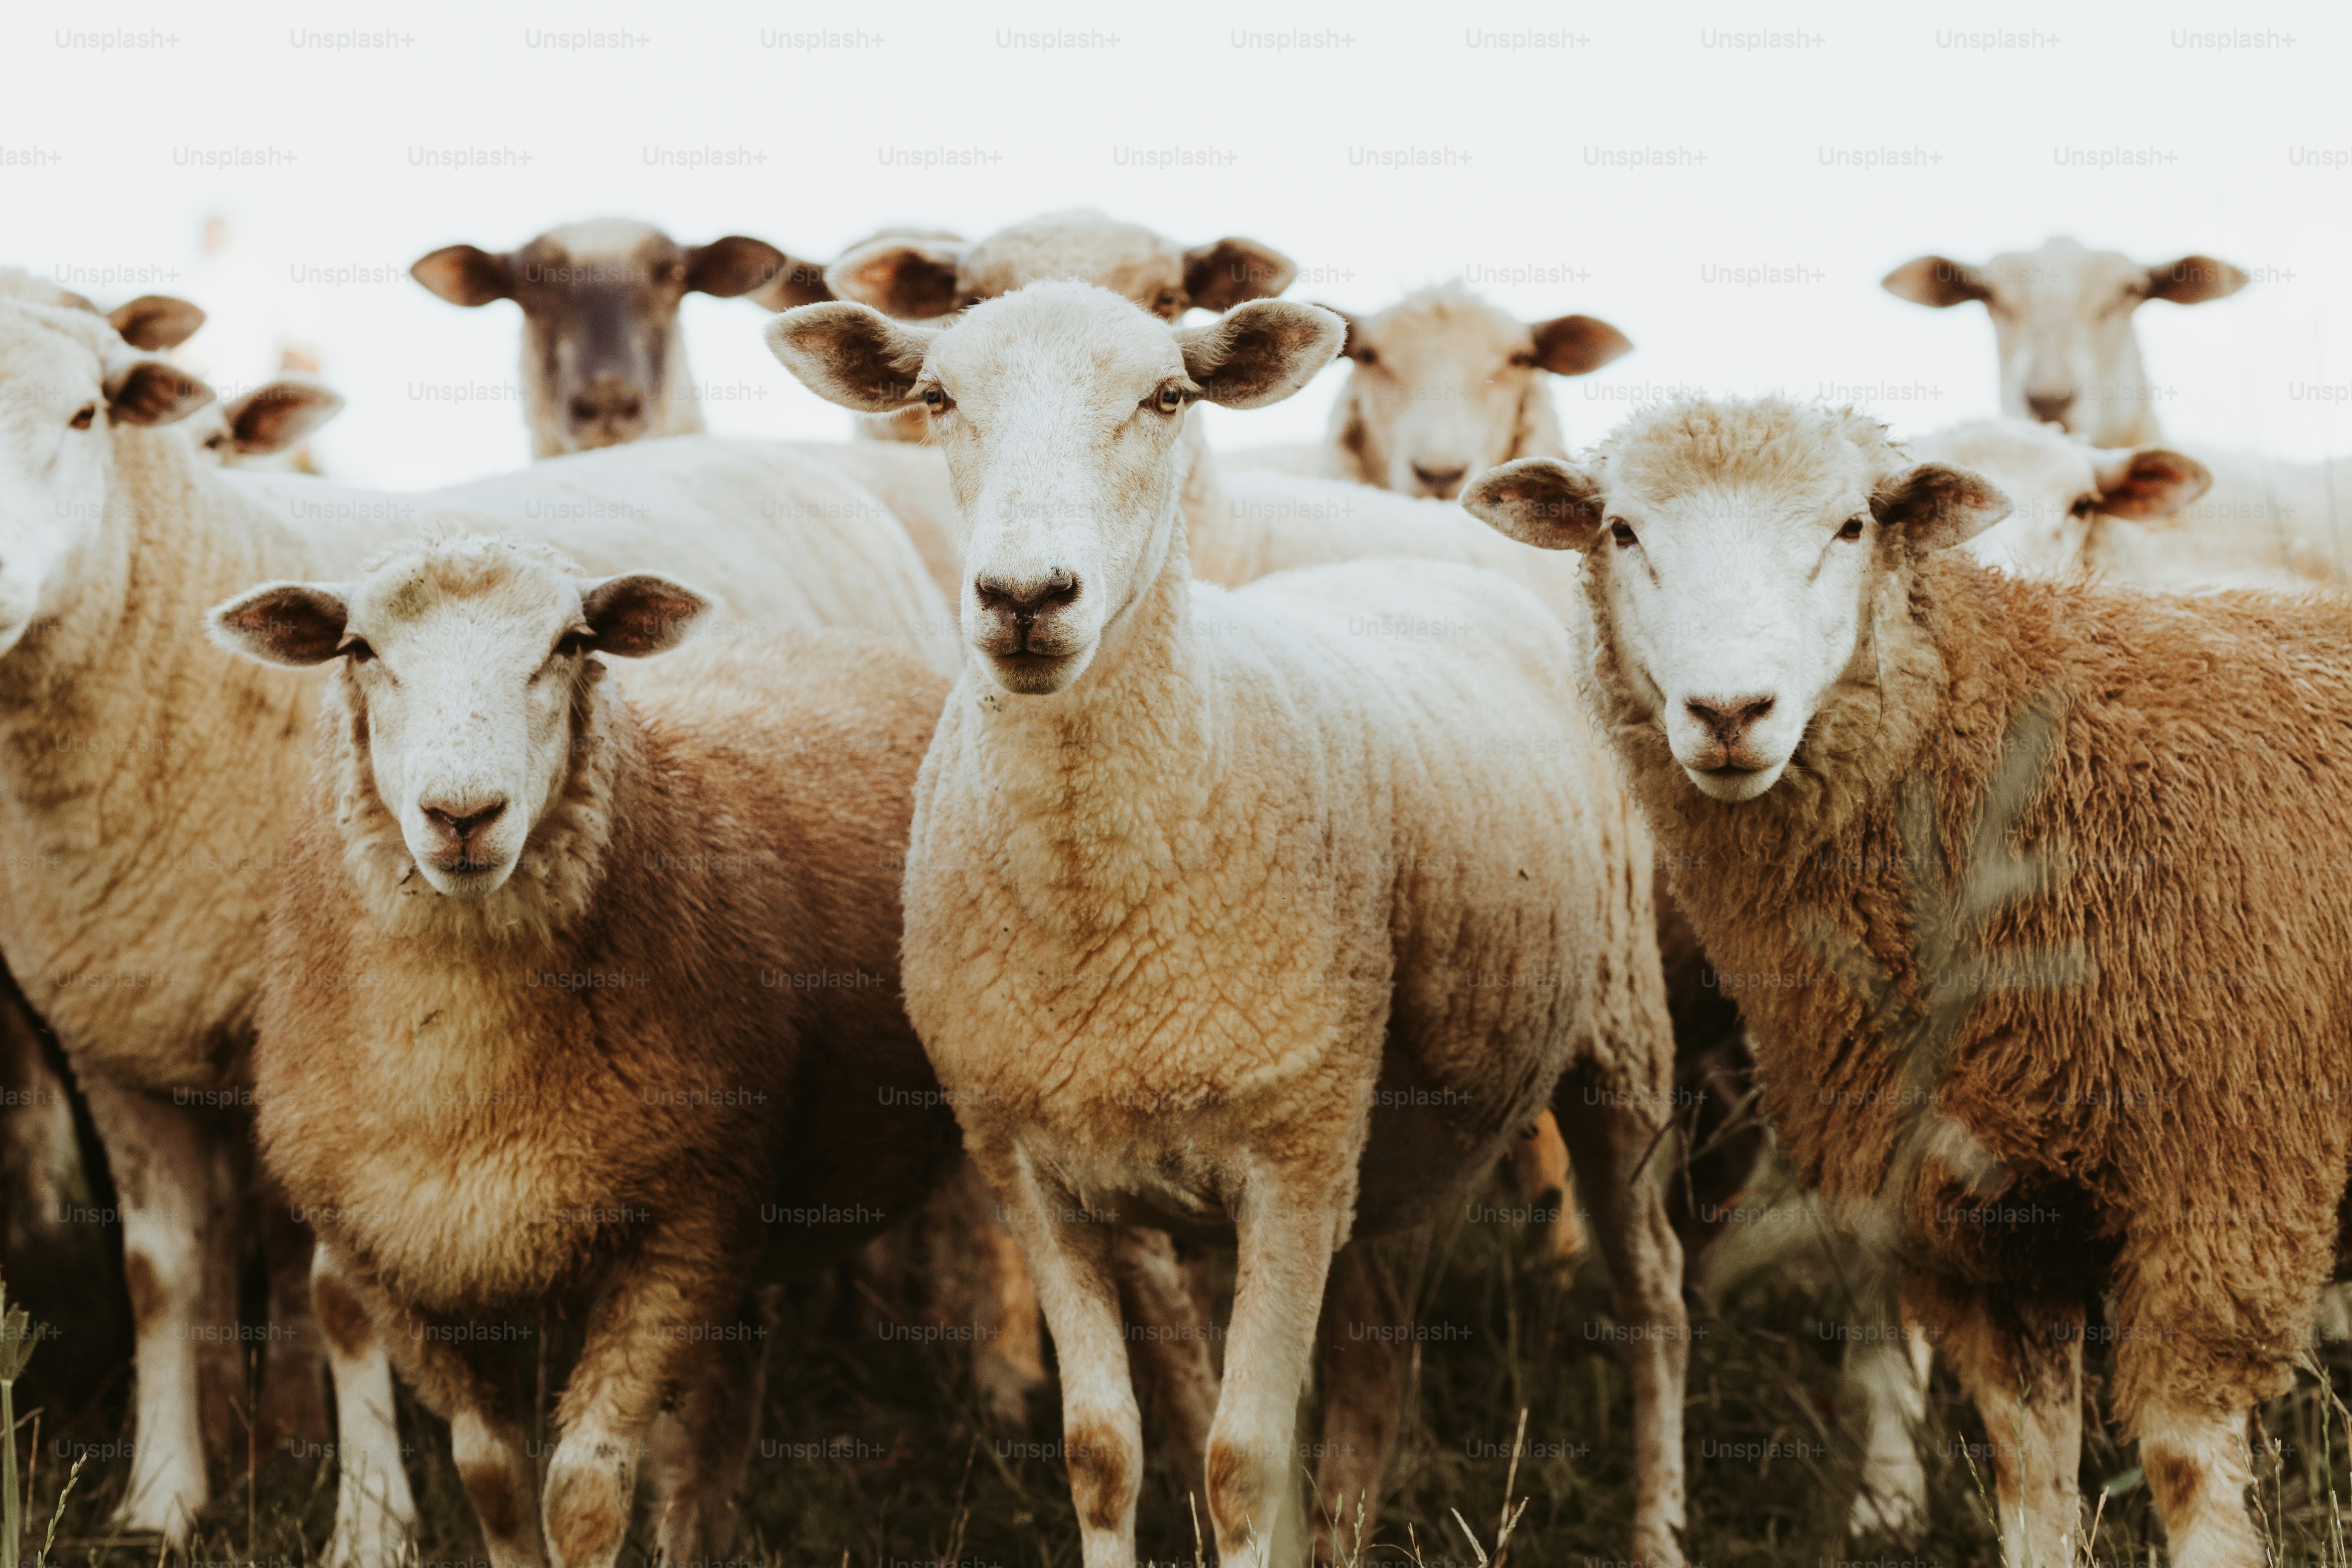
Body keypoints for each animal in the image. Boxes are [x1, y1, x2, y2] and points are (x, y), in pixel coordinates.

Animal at [208, 530, 957, 1568]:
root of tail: (848, 644)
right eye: (359, 649)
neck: (465, 1081)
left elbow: (586, 1491)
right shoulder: (405, 1260)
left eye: (569, 644)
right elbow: (492, 1478)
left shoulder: (682, 1228)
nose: (463, 815)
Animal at [1464, 395, 2352, 1568]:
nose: (1729, 712)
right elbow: (2030, 1477)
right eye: (1621, 531)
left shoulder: (2223, 1199)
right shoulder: (1976, 1224)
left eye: (1852, 526)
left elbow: (2184, 1469)